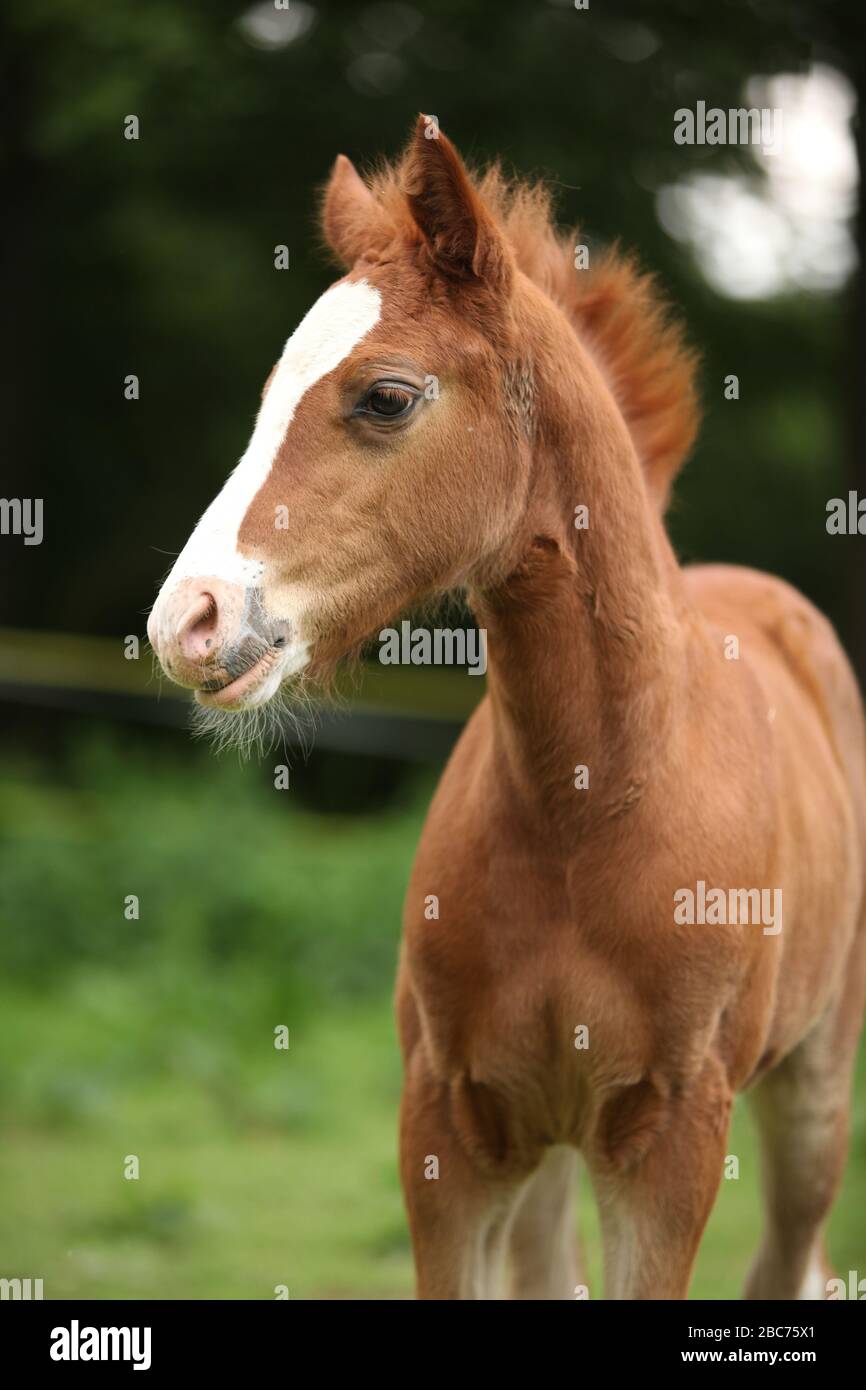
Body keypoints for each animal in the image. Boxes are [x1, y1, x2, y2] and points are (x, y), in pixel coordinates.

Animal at [148, 116, 866, 1300]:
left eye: (386, 396)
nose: (186, 622)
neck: (589, 802)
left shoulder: (672, 1142)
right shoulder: (447, 1123)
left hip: (811, 1087)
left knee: (789, 1255)